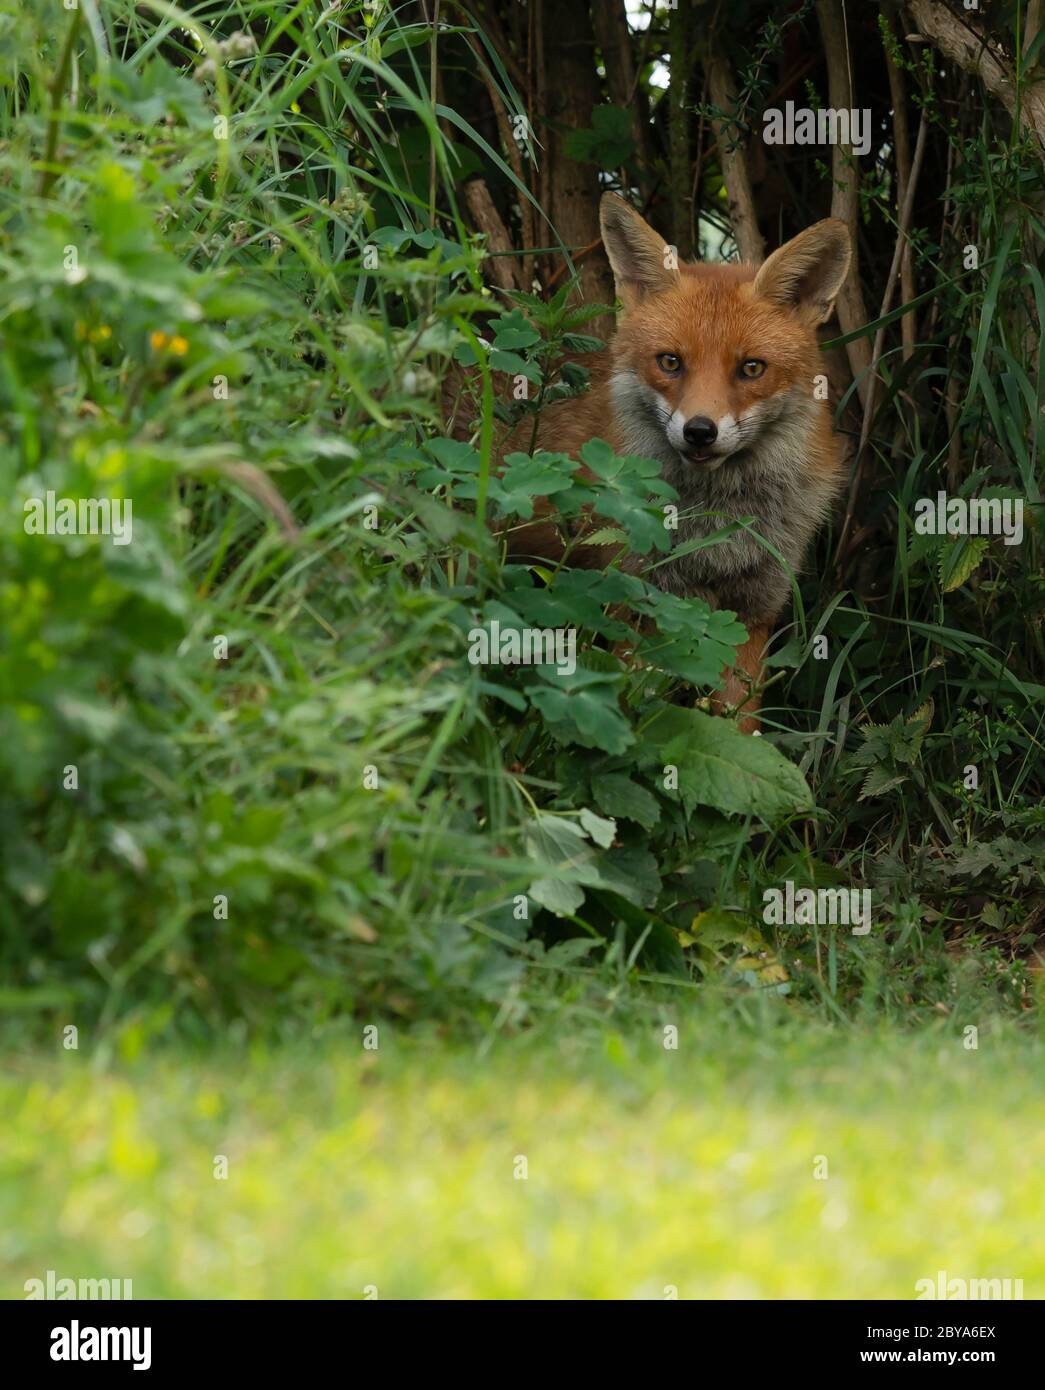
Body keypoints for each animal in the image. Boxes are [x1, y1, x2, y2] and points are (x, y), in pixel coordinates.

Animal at [498, 192, 854, 730]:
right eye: (670, 362)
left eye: (751, 368)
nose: (700, 431)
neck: (714, 527)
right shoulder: (635, 605)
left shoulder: (752, 611)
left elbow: (740, 727)